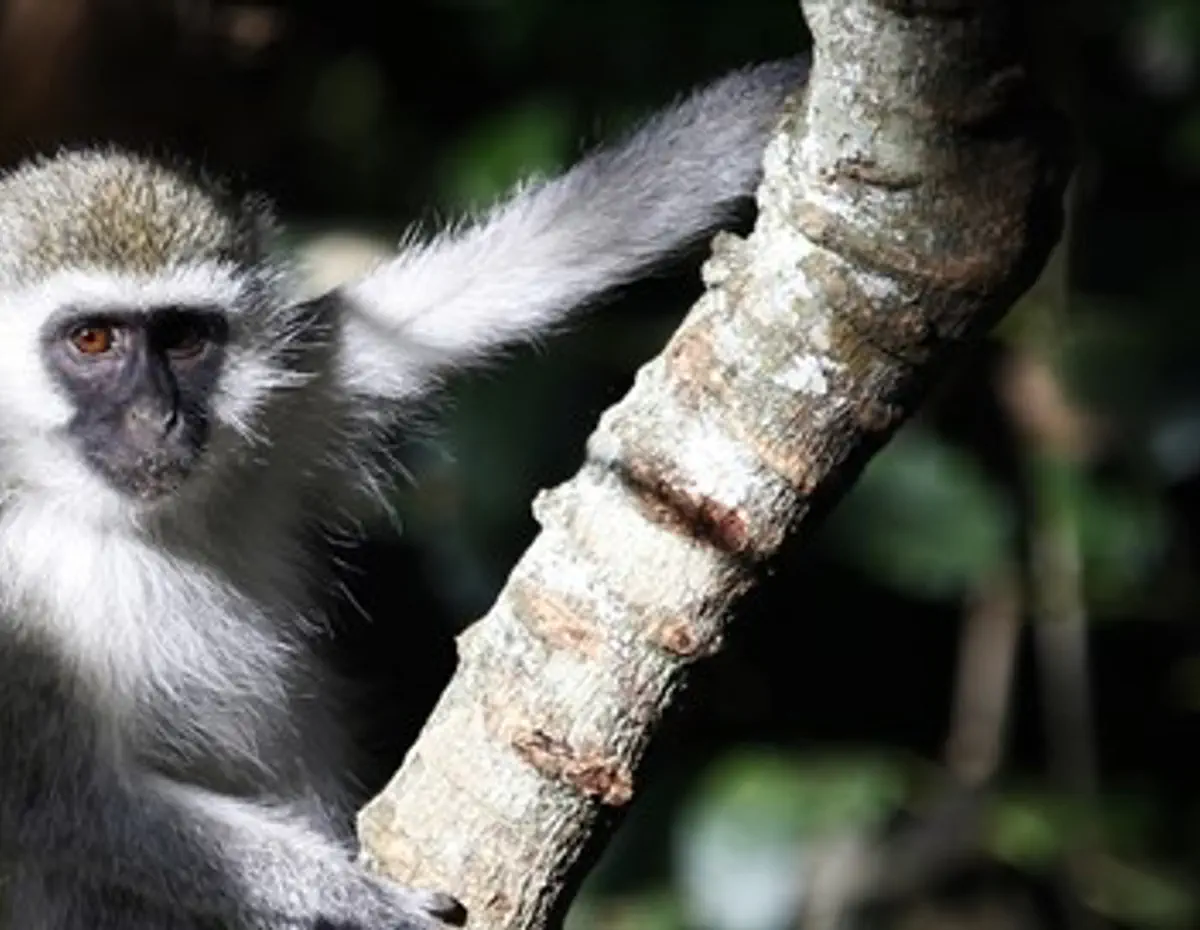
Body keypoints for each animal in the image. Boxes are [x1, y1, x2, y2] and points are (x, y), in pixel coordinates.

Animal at [0, 56, 806, 929]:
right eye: (92, 340)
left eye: (183, 338)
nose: (159, 417)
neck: (117, 518)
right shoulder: (14, 610)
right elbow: (62, 804)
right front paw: (357, 901)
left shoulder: (301, 390)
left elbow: (533, 260)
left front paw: (784, 97)